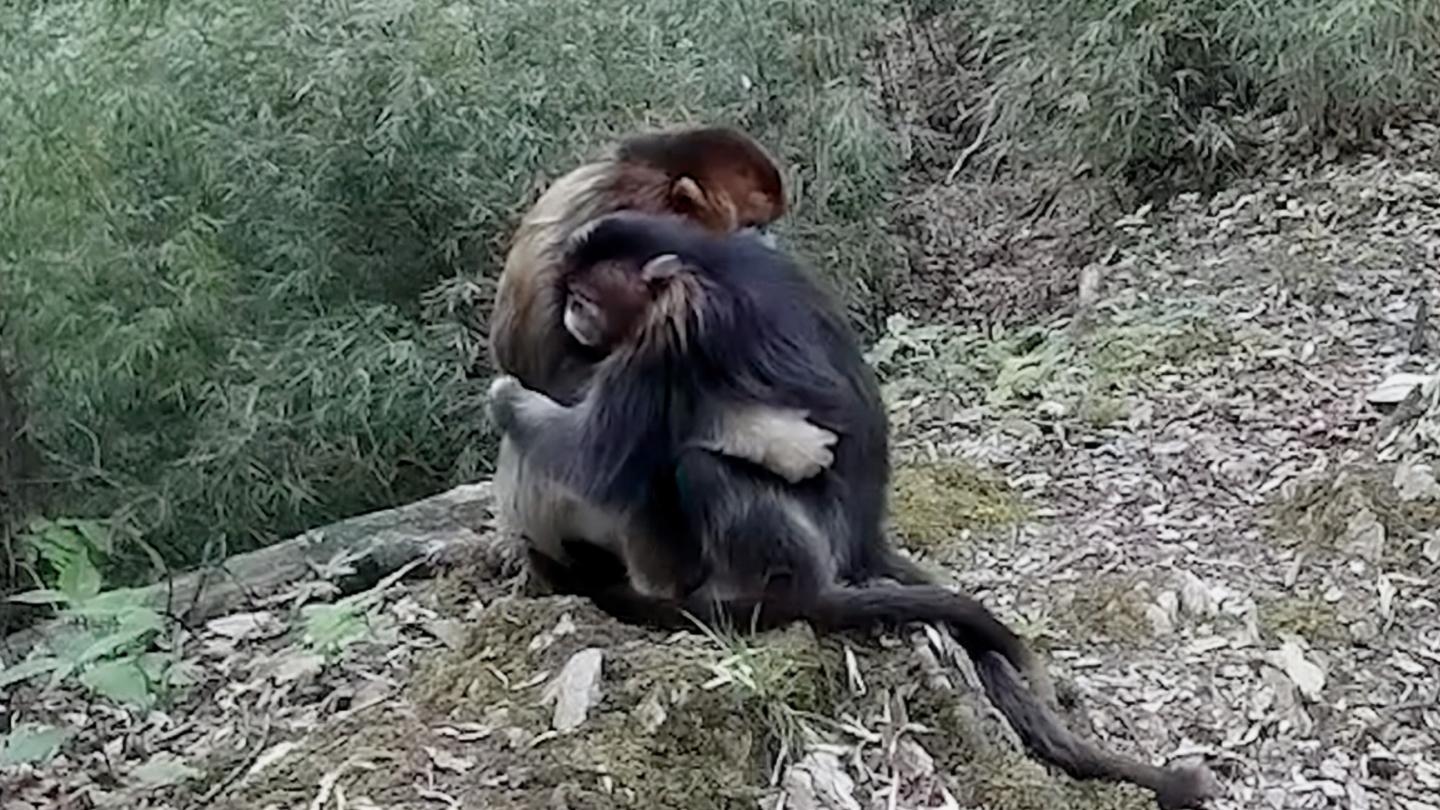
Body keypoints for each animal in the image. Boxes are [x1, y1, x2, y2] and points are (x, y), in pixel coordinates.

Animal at [487, 211, 1221, 810]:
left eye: (585, 297)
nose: (573, 315)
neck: (702, 262)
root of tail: (863, 536)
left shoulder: (675, 328)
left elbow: (597, 457)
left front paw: (507, 400)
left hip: (813, 539)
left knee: (693, 463)